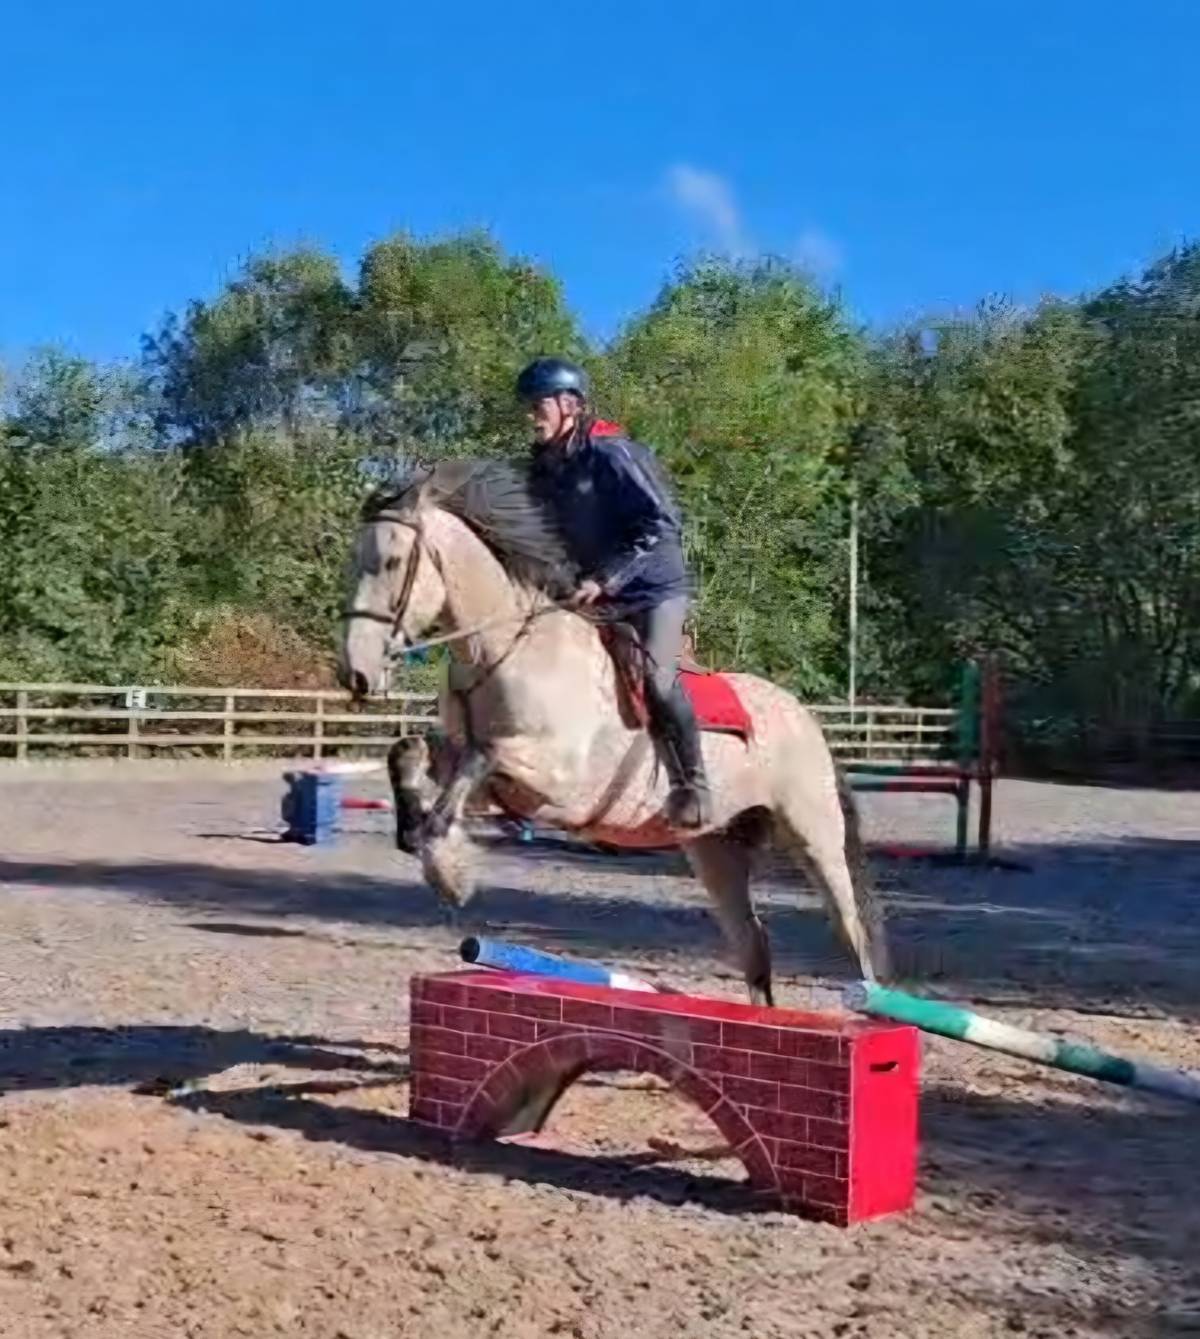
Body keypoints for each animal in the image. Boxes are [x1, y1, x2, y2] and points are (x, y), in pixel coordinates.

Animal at [338, 458, 890, 1004]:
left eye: (391, 562)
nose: (356, 674)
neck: (505, 649)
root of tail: (803, 715)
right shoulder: (488, 777)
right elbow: (409, 753)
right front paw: (425, 843)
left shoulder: (556, 782)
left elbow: (481, 757)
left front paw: (446, 868)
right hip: (716, 850)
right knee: (754, 946)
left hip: (814, 836)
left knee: (853, 934)